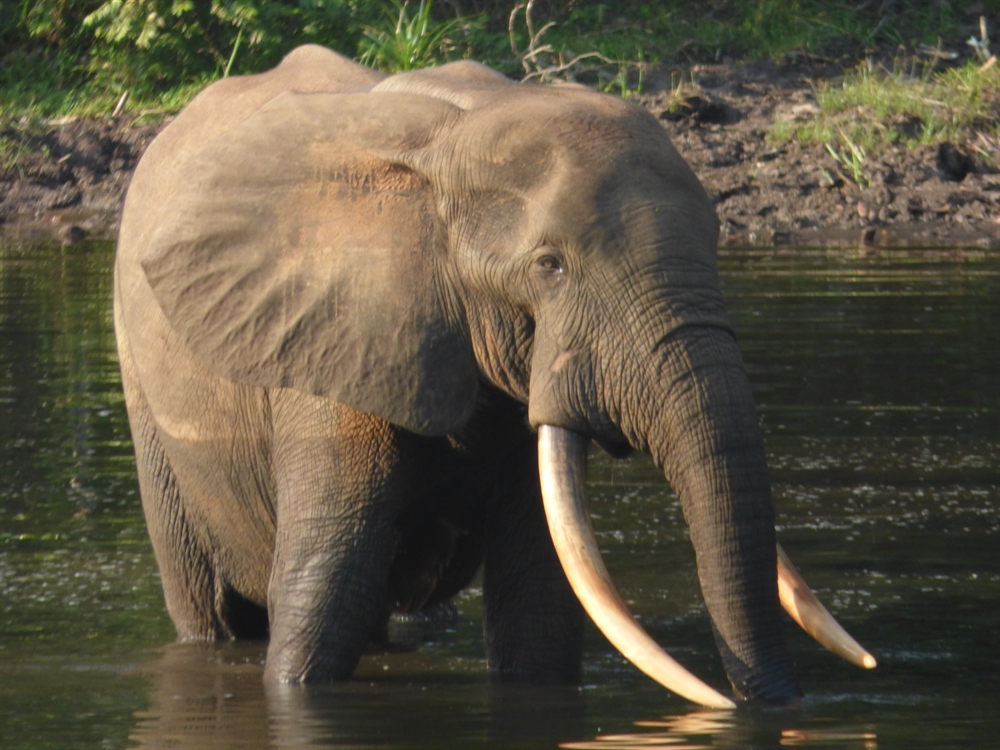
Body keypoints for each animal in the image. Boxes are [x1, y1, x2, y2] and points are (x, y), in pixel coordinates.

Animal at [114, 45, 874, 706]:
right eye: (549, 266)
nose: (770, 704)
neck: (454, 141)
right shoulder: (335, 348)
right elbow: (322, 598)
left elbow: (536, 610)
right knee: (215, 611)